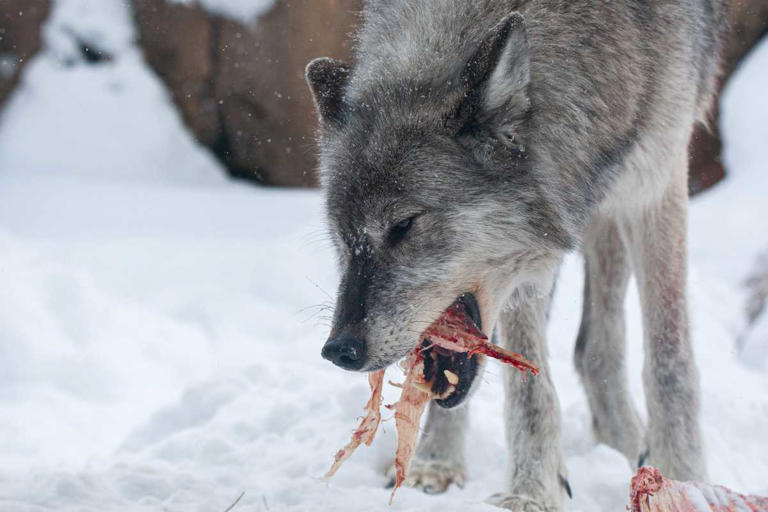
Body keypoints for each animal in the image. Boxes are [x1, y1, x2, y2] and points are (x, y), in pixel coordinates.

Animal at [305, 1, 728, 510]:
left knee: (600, 343)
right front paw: (520, 486)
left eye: (402, 225)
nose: (339, 350)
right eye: (343, 238)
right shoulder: (528, 257)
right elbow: (529, 383)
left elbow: (670, 361)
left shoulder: (656, 178)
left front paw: (686, 479)